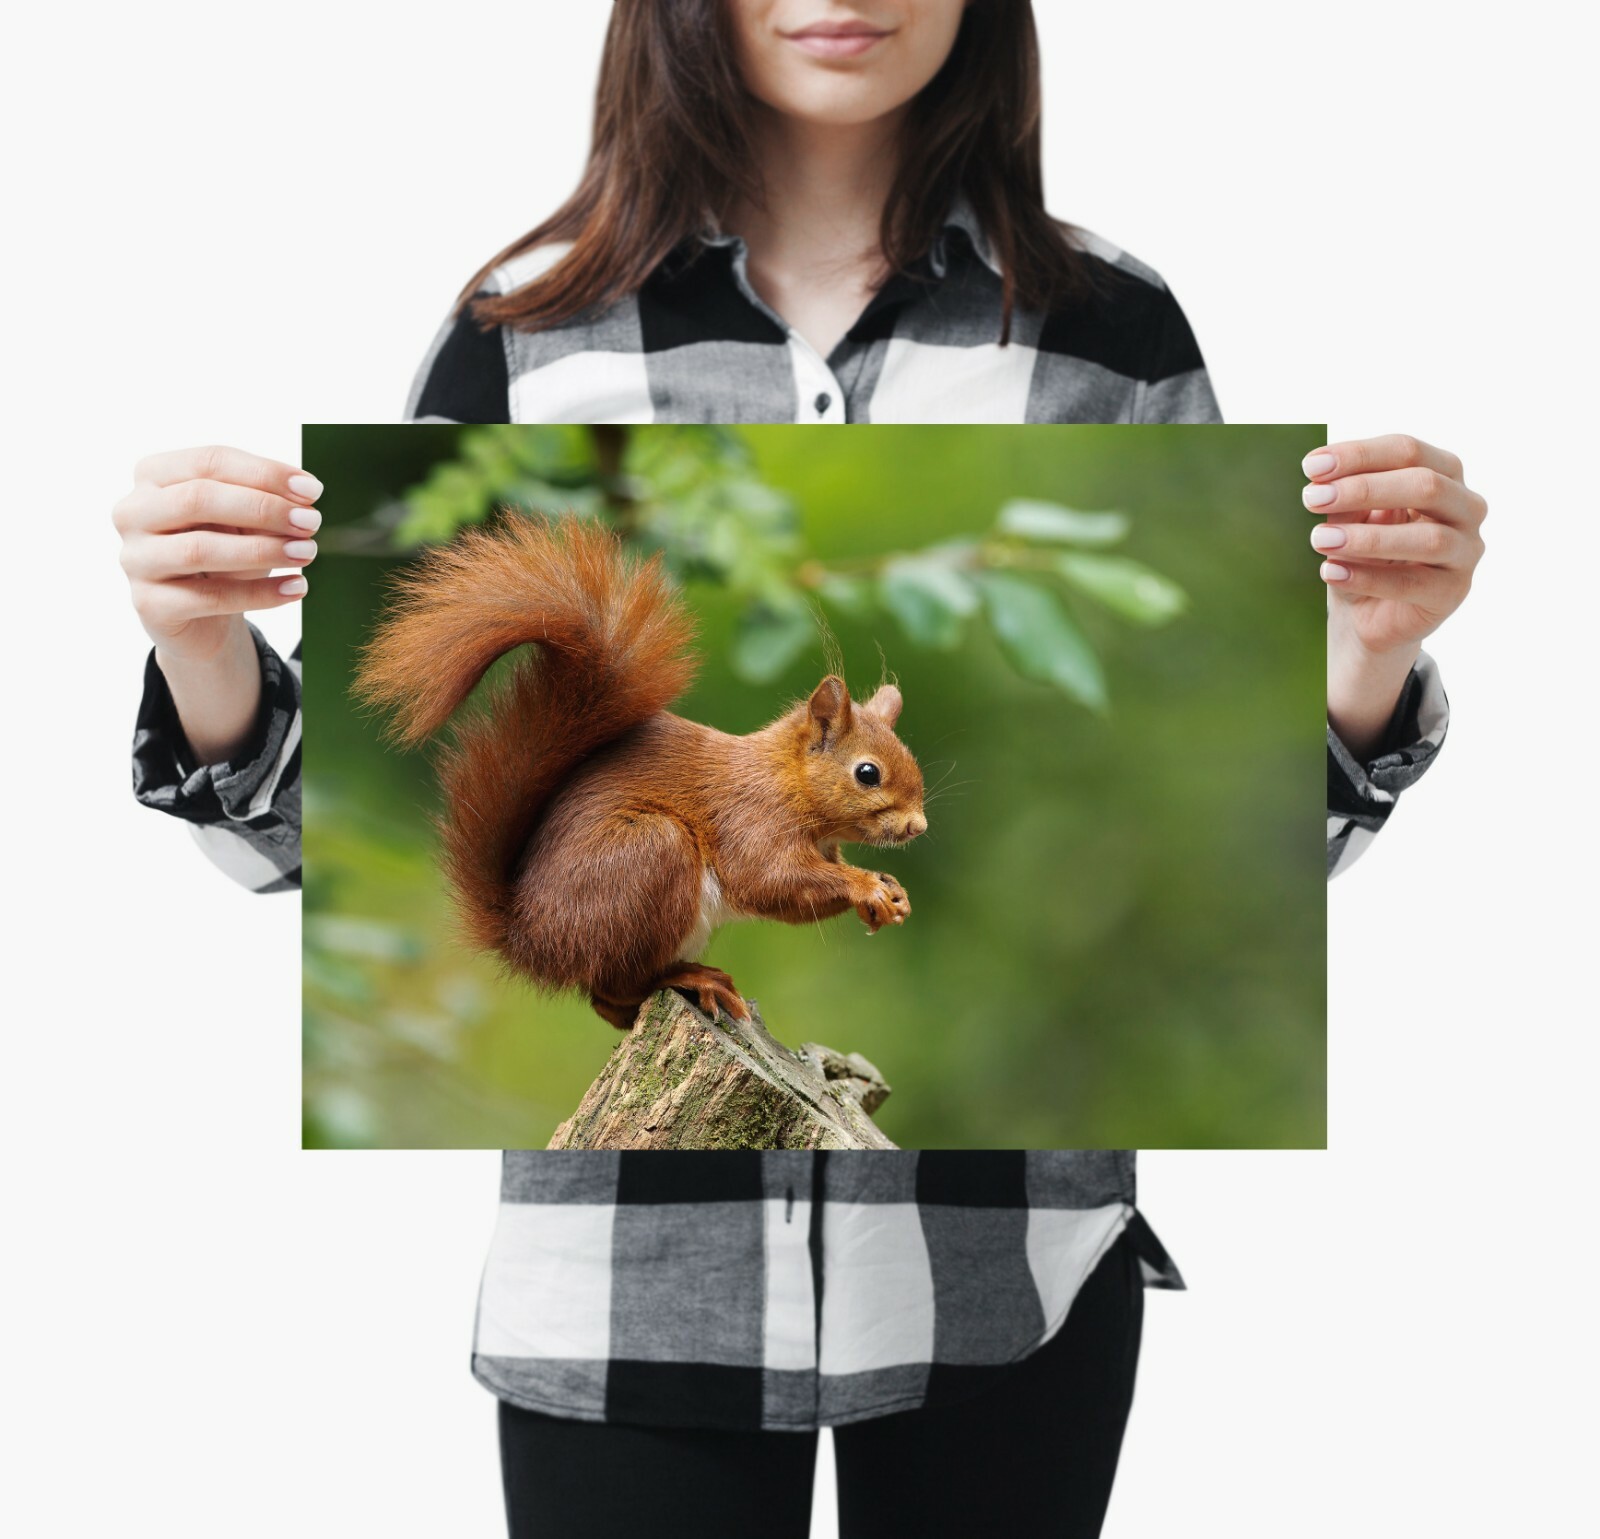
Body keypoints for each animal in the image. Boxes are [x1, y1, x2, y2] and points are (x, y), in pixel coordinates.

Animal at [349, 513, 927, 1030]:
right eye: (868, 773)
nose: (918, 827)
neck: (788, 782)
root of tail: (531, 942)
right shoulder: (752, 819)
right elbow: (770, 880)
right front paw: (866, 887)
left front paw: (890, 892)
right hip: (650, 857)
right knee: (614, 986)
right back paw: (690, 978)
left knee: (606, 1005)